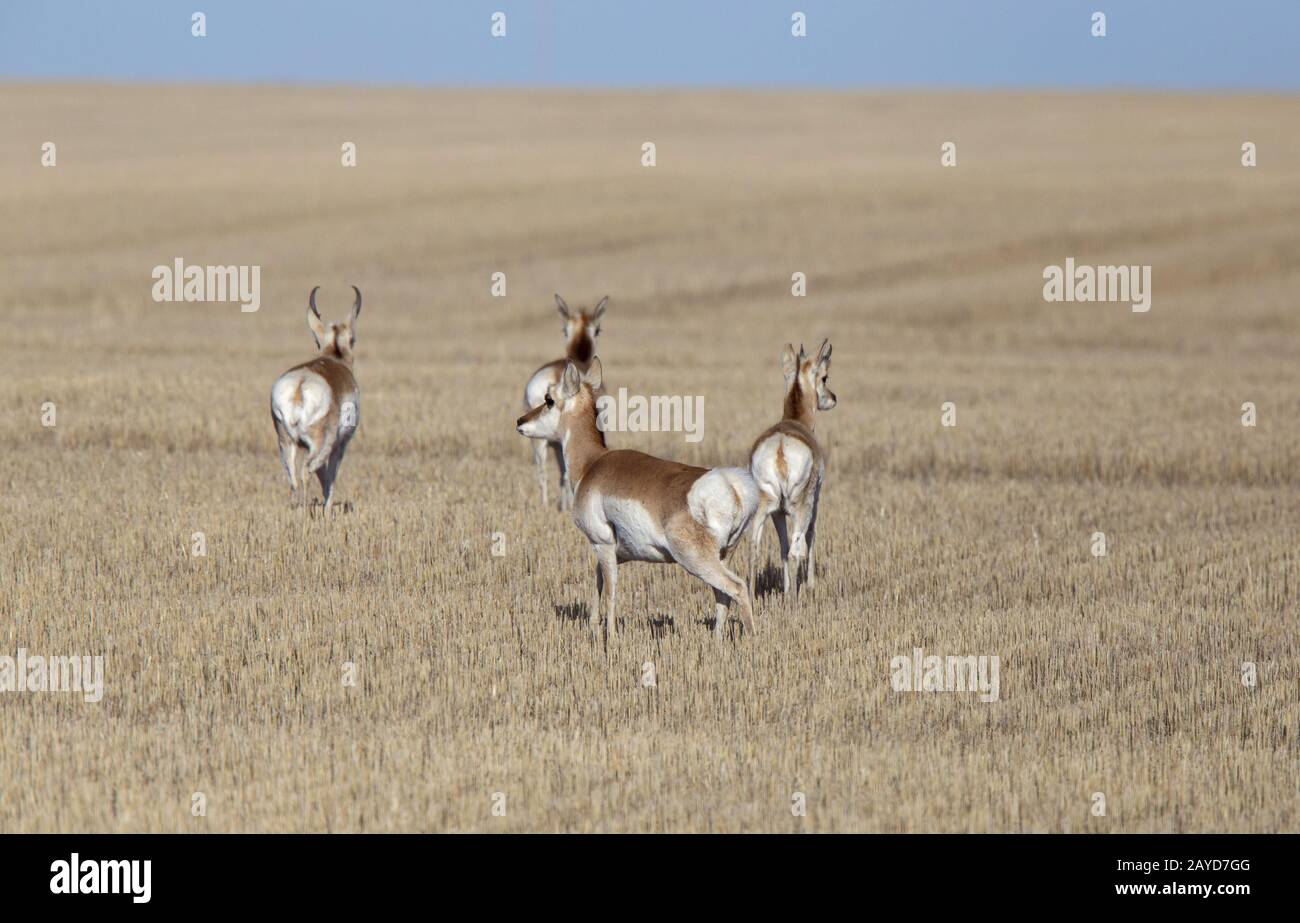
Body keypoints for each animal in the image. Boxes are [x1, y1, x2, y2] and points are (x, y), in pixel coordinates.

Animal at [270, 285, 362, 512]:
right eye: (353, 339)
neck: (334, 358)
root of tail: (300, 385)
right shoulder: (340, 444)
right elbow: (330, 476)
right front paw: (328, 511)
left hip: (286, 443)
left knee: (293, 478)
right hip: (320, 444)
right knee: (307, 471)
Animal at [516, 358, 759, 639]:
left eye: (549, 399)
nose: (520, 421)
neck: (592, 463)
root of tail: (731, 484)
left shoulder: (603, 545)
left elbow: (611, 590)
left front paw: (610, 636)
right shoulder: (612, 553)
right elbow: (598, 583)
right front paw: (593, 627)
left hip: (695, 559)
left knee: (737, 587)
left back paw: (751, 640)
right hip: (721, 556)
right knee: (723, 594)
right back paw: (716, 640)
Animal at [749, 340, 836, 595]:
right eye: (824, 377)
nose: (833, 397)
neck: (795, 422)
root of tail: (780, 447)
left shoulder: (778, 513)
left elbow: (782, 546)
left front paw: (787, 588)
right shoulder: (815, 502)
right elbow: (811, 537)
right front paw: (809, 585)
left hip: (765, 508)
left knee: (755, 549)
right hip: (801, 508)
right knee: (798, 549)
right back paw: (796, 599)